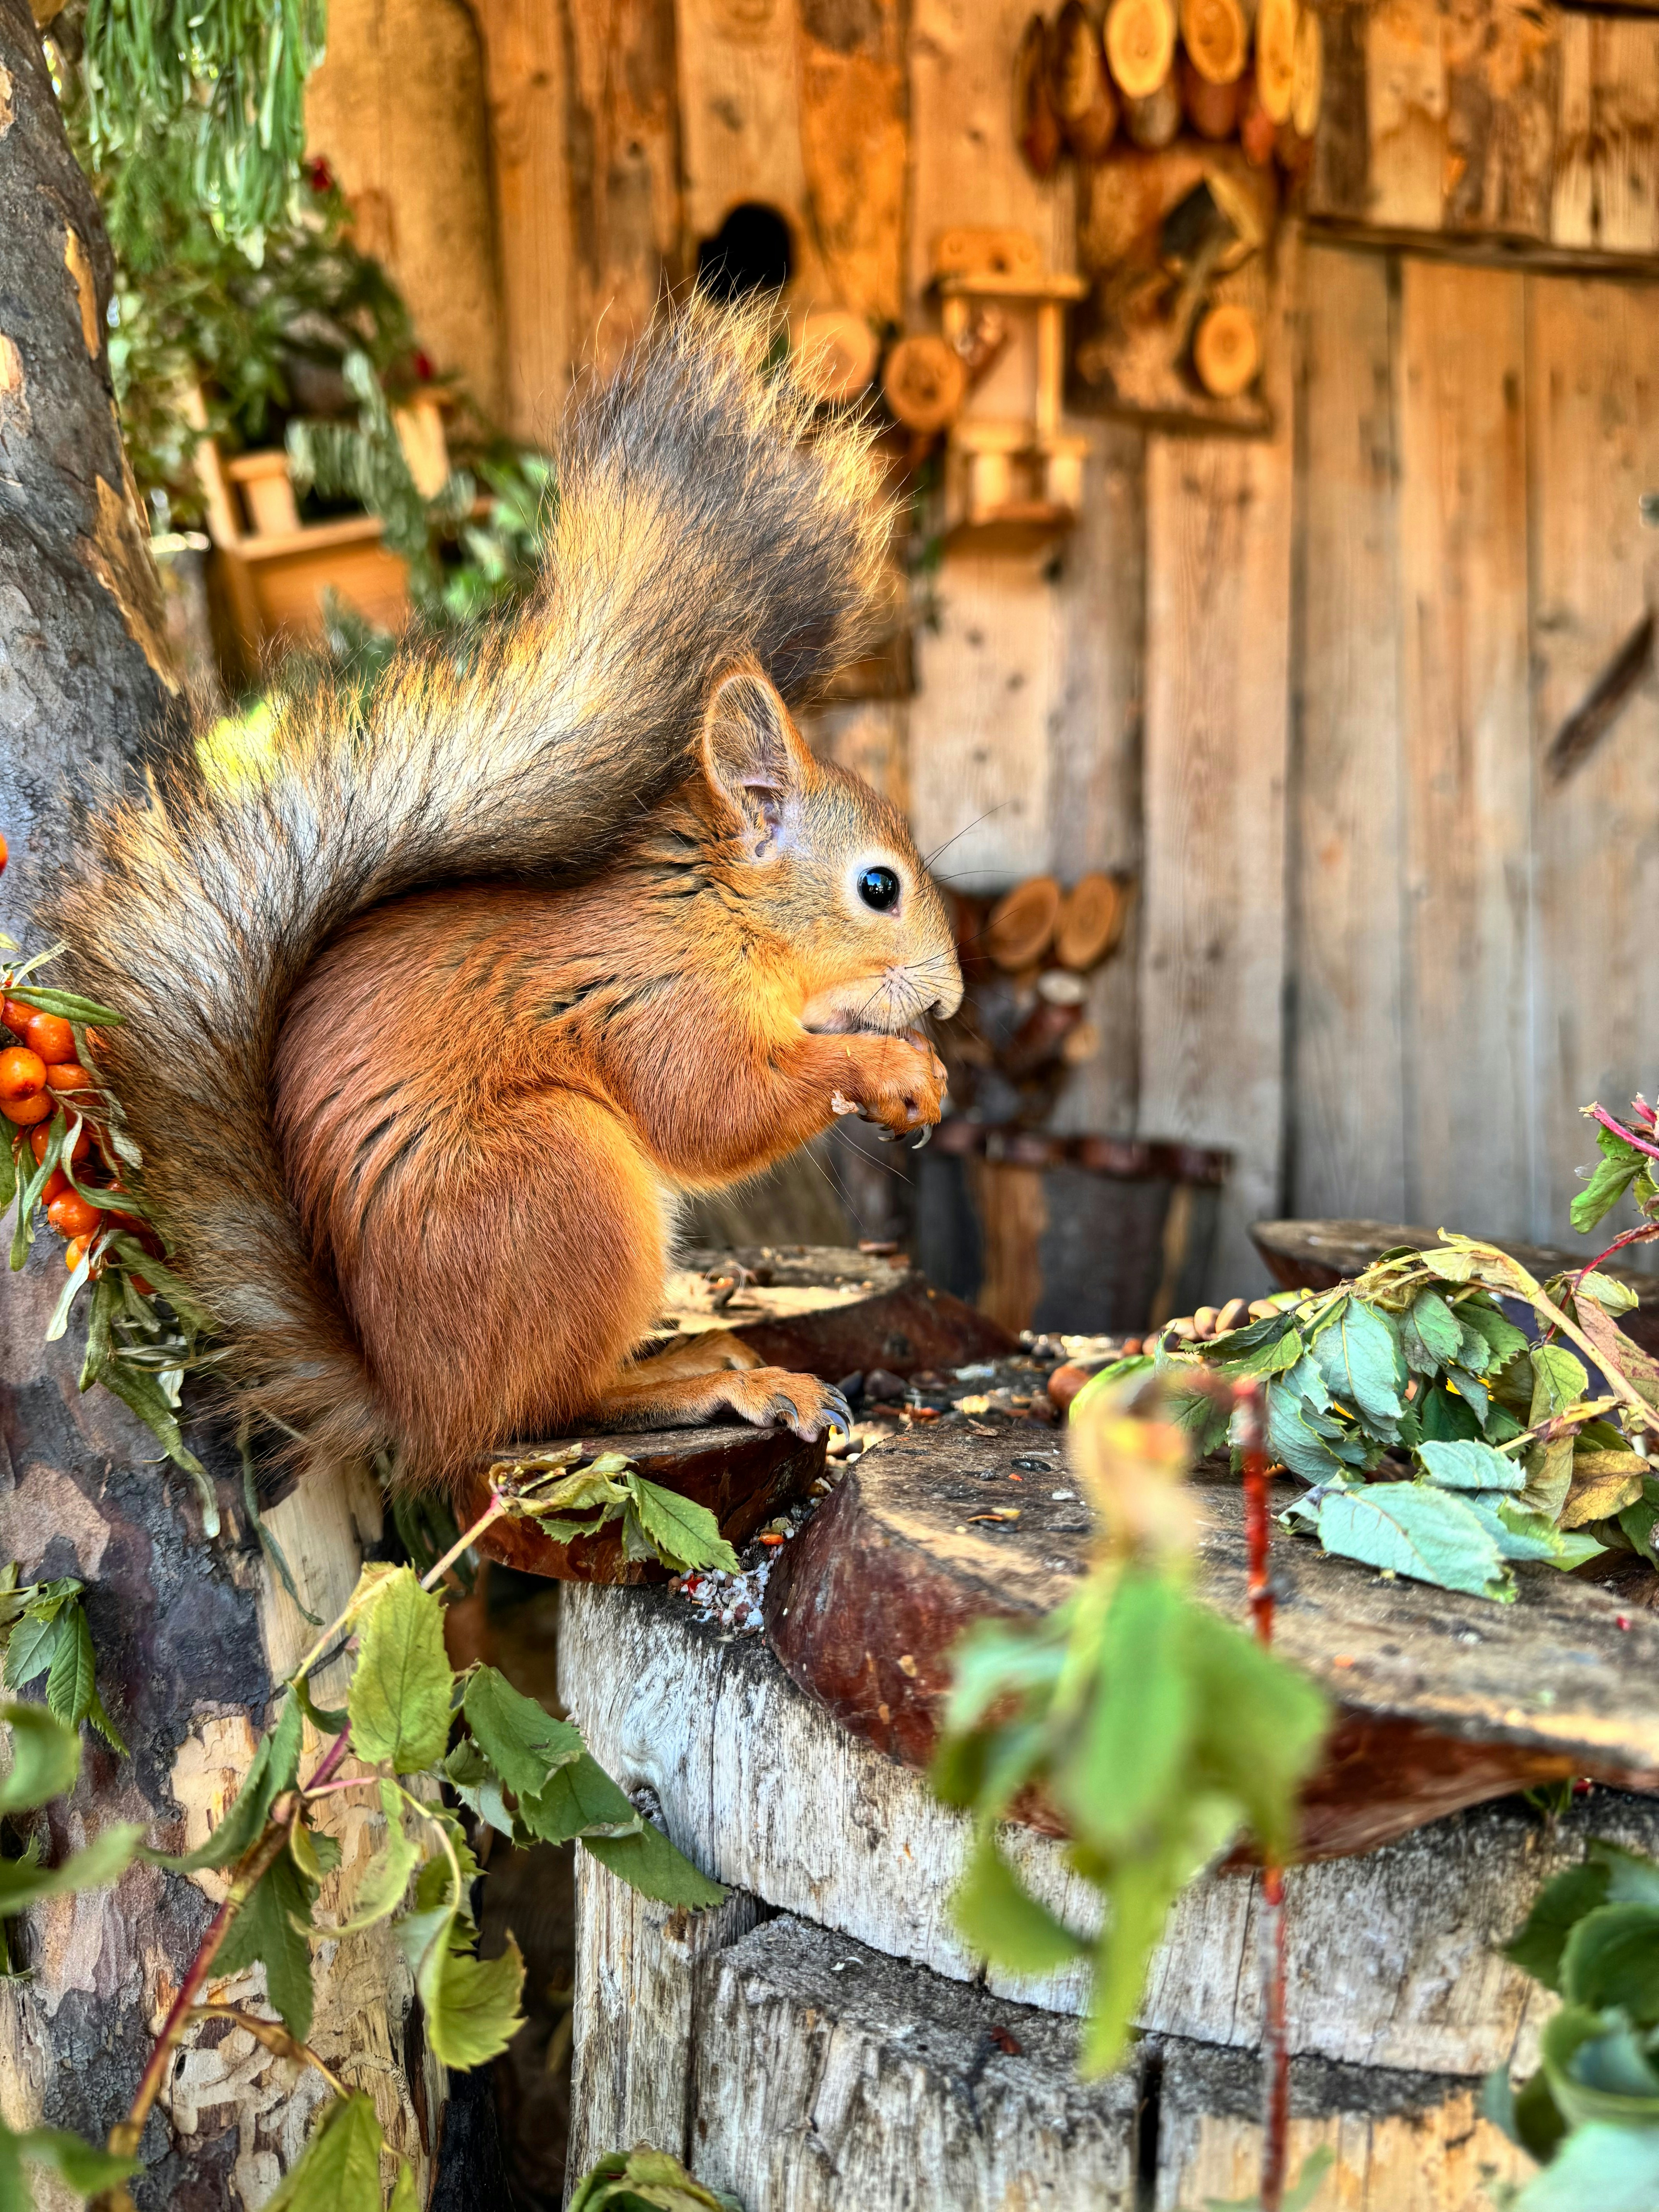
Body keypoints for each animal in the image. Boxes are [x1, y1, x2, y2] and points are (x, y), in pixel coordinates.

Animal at [46, 301, 963, 1491]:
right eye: (877, 887)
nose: (947, 1001)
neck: (713, 918)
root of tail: (412, 1403)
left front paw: (917, 1070)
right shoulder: (649, 1000)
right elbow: (711, 1113)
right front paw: (887, 1068)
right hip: (557, 1182)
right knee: (545, 1407)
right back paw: (719, 1380)